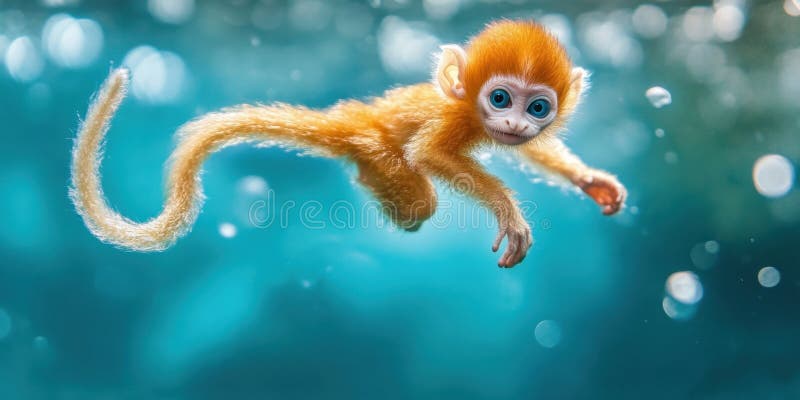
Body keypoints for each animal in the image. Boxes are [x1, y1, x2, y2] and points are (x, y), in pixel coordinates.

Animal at [70, 20, 626, 268]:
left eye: (537, 109)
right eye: (500, 98)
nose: (512, 121)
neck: (468, 106)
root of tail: (354, 118)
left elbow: (530, 149)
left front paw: (589, 179)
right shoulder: (454, 117)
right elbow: (429, 153)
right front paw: (509, 214)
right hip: (374, 143)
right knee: (417, 197)